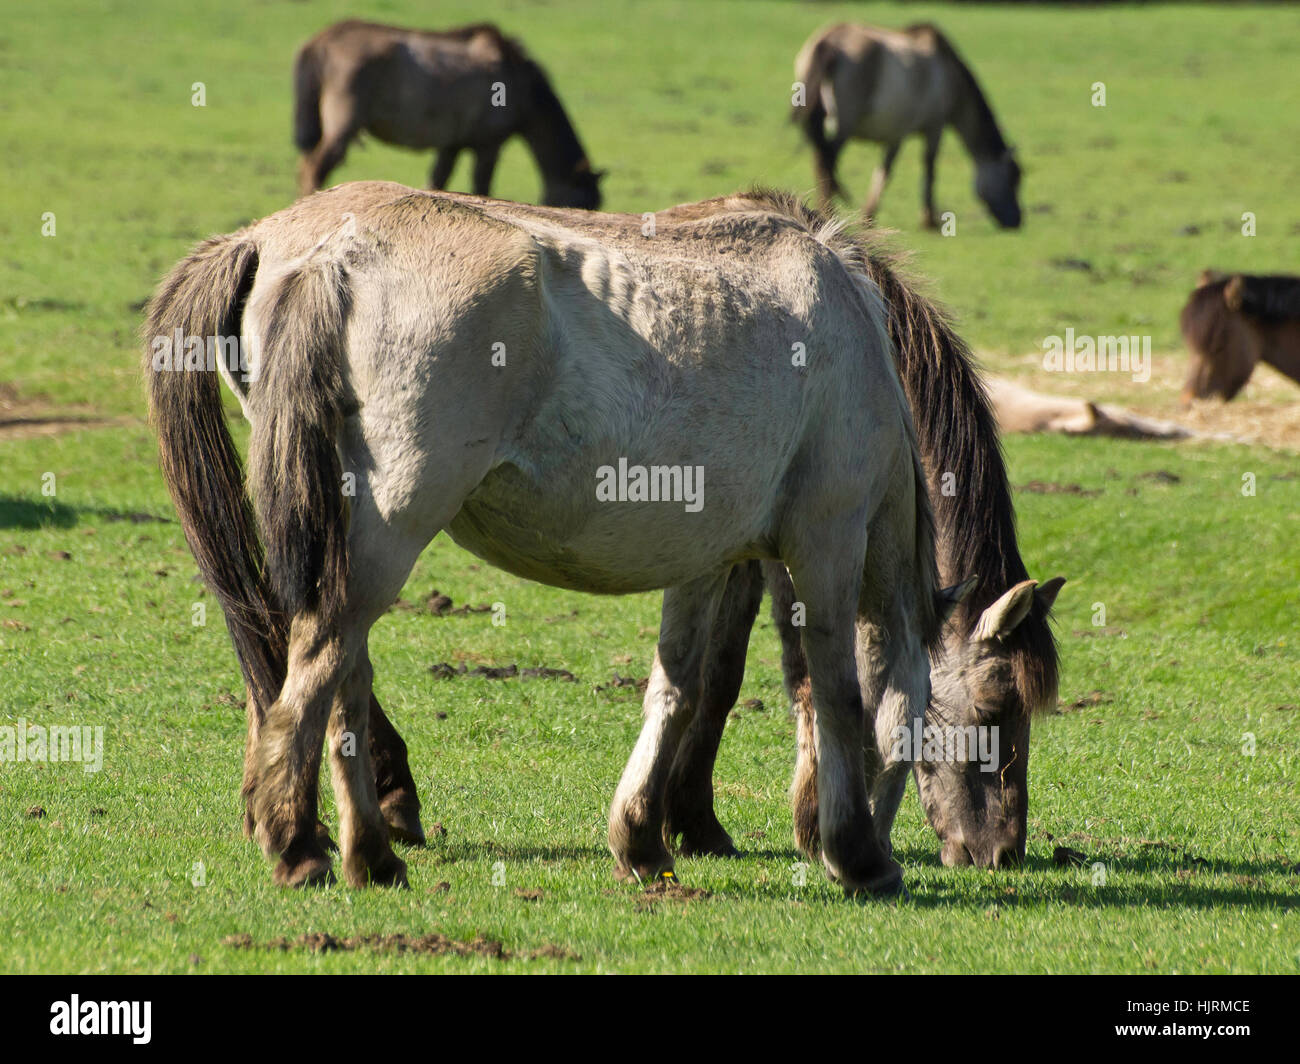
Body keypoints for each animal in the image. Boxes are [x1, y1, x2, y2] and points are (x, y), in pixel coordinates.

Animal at [145, 182, 964, 896]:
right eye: (977, 723)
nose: (976, 852)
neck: (854, 333)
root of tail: (330, 256)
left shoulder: (708, 560)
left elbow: (681, 686)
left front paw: (642, 840)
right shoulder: (827, 542)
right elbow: (838, 693)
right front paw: (856, 855)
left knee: (343, 673)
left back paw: (370, 857)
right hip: (387, 536)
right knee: (322, 662)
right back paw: (298, 846)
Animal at [293, 21, 604, 207]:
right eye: (584, 202)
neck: (522, 85)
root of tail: (322, 40)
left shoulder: (452, 145)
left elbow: (436, 183)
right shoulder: (488, 146)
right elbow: (482, 186)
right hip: (342, 127)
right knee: (314, 168)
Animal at [793, 22, 1021, 229]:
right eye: (1012, 179)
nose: (1017, 221)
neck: (948, 72)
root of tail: (828, 41)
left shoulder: (896, 135)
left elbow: (884, 171)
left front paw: (869, 216)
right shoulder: (934, 127)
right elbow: (929, 168)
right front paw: (929, 219)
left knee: (821, 160)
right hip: (844, 126)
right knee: (827, 162)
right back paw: (829, 213)